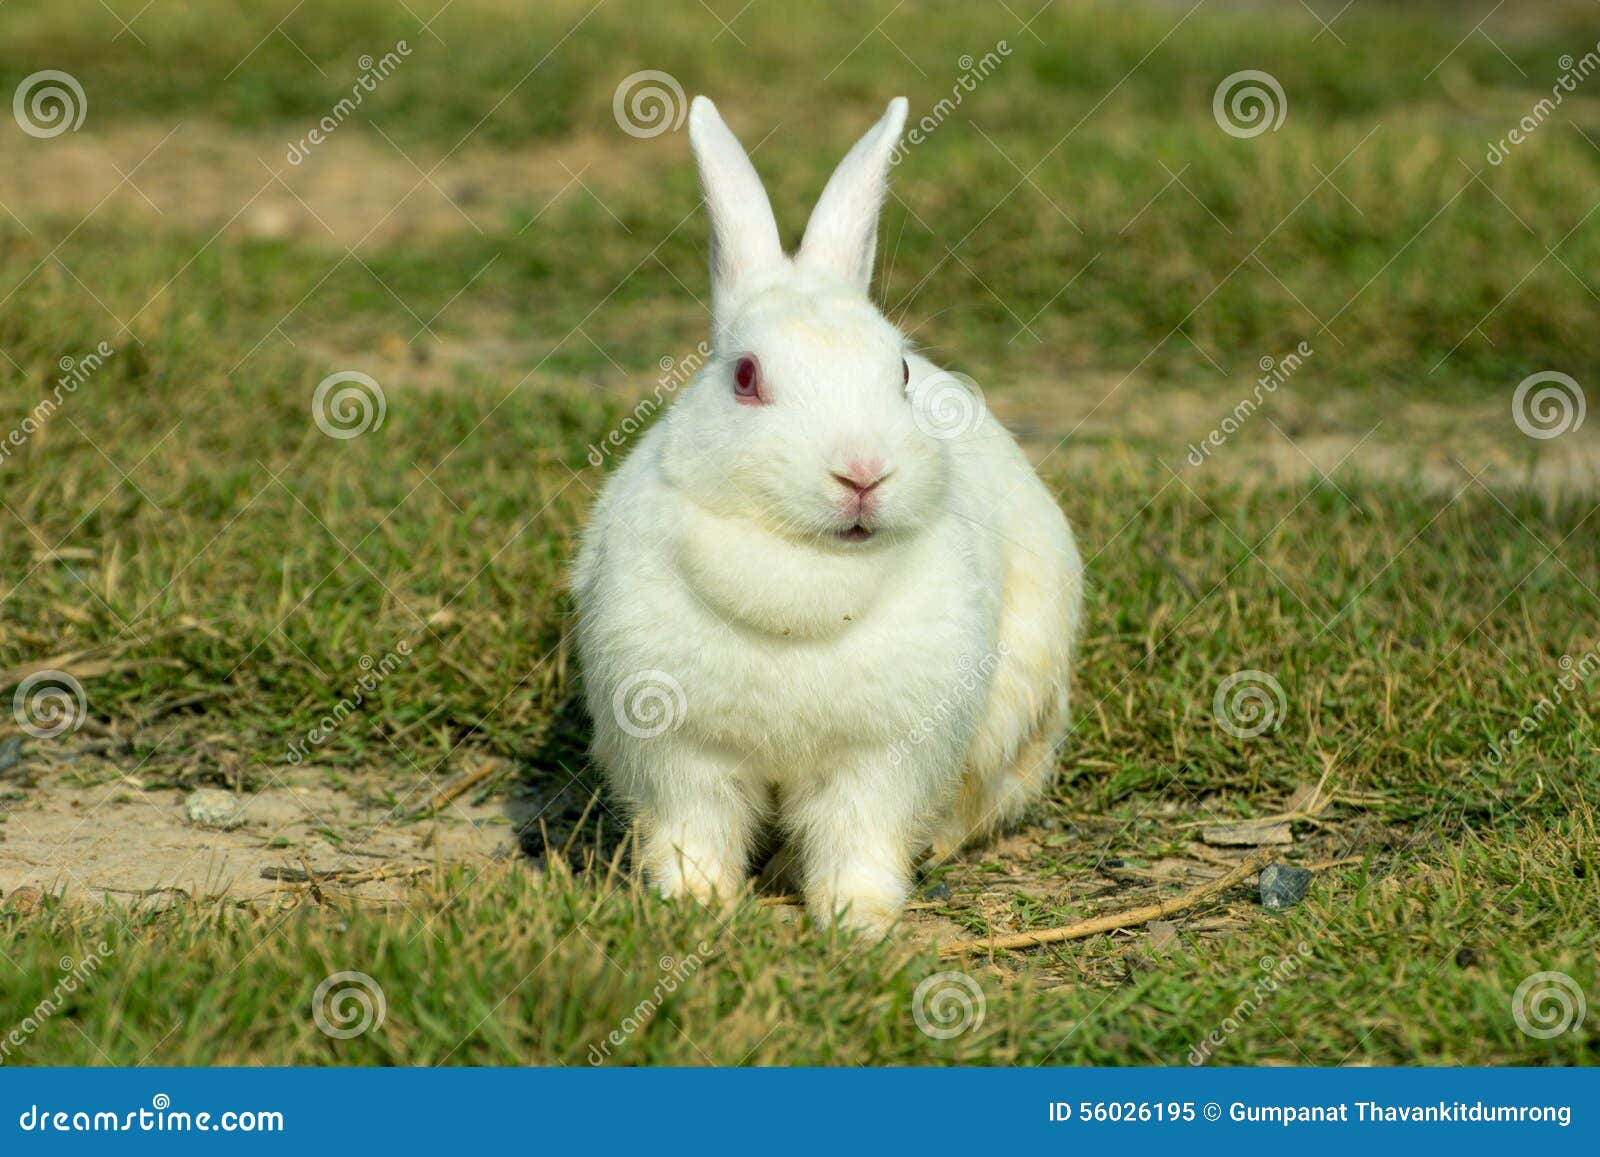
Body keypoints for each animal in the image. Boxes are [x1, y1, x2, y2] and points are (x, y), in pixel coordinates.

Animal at [572, 95, 1083, 934]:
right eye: (745, 377)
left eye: (900, 371)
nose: (863, 472)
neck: (806, 569)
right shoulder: (683, 754)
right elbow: (697, 830)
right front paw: (695, 903)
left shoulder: (881, 762)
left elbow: (859, 838)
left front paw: (857, 919)